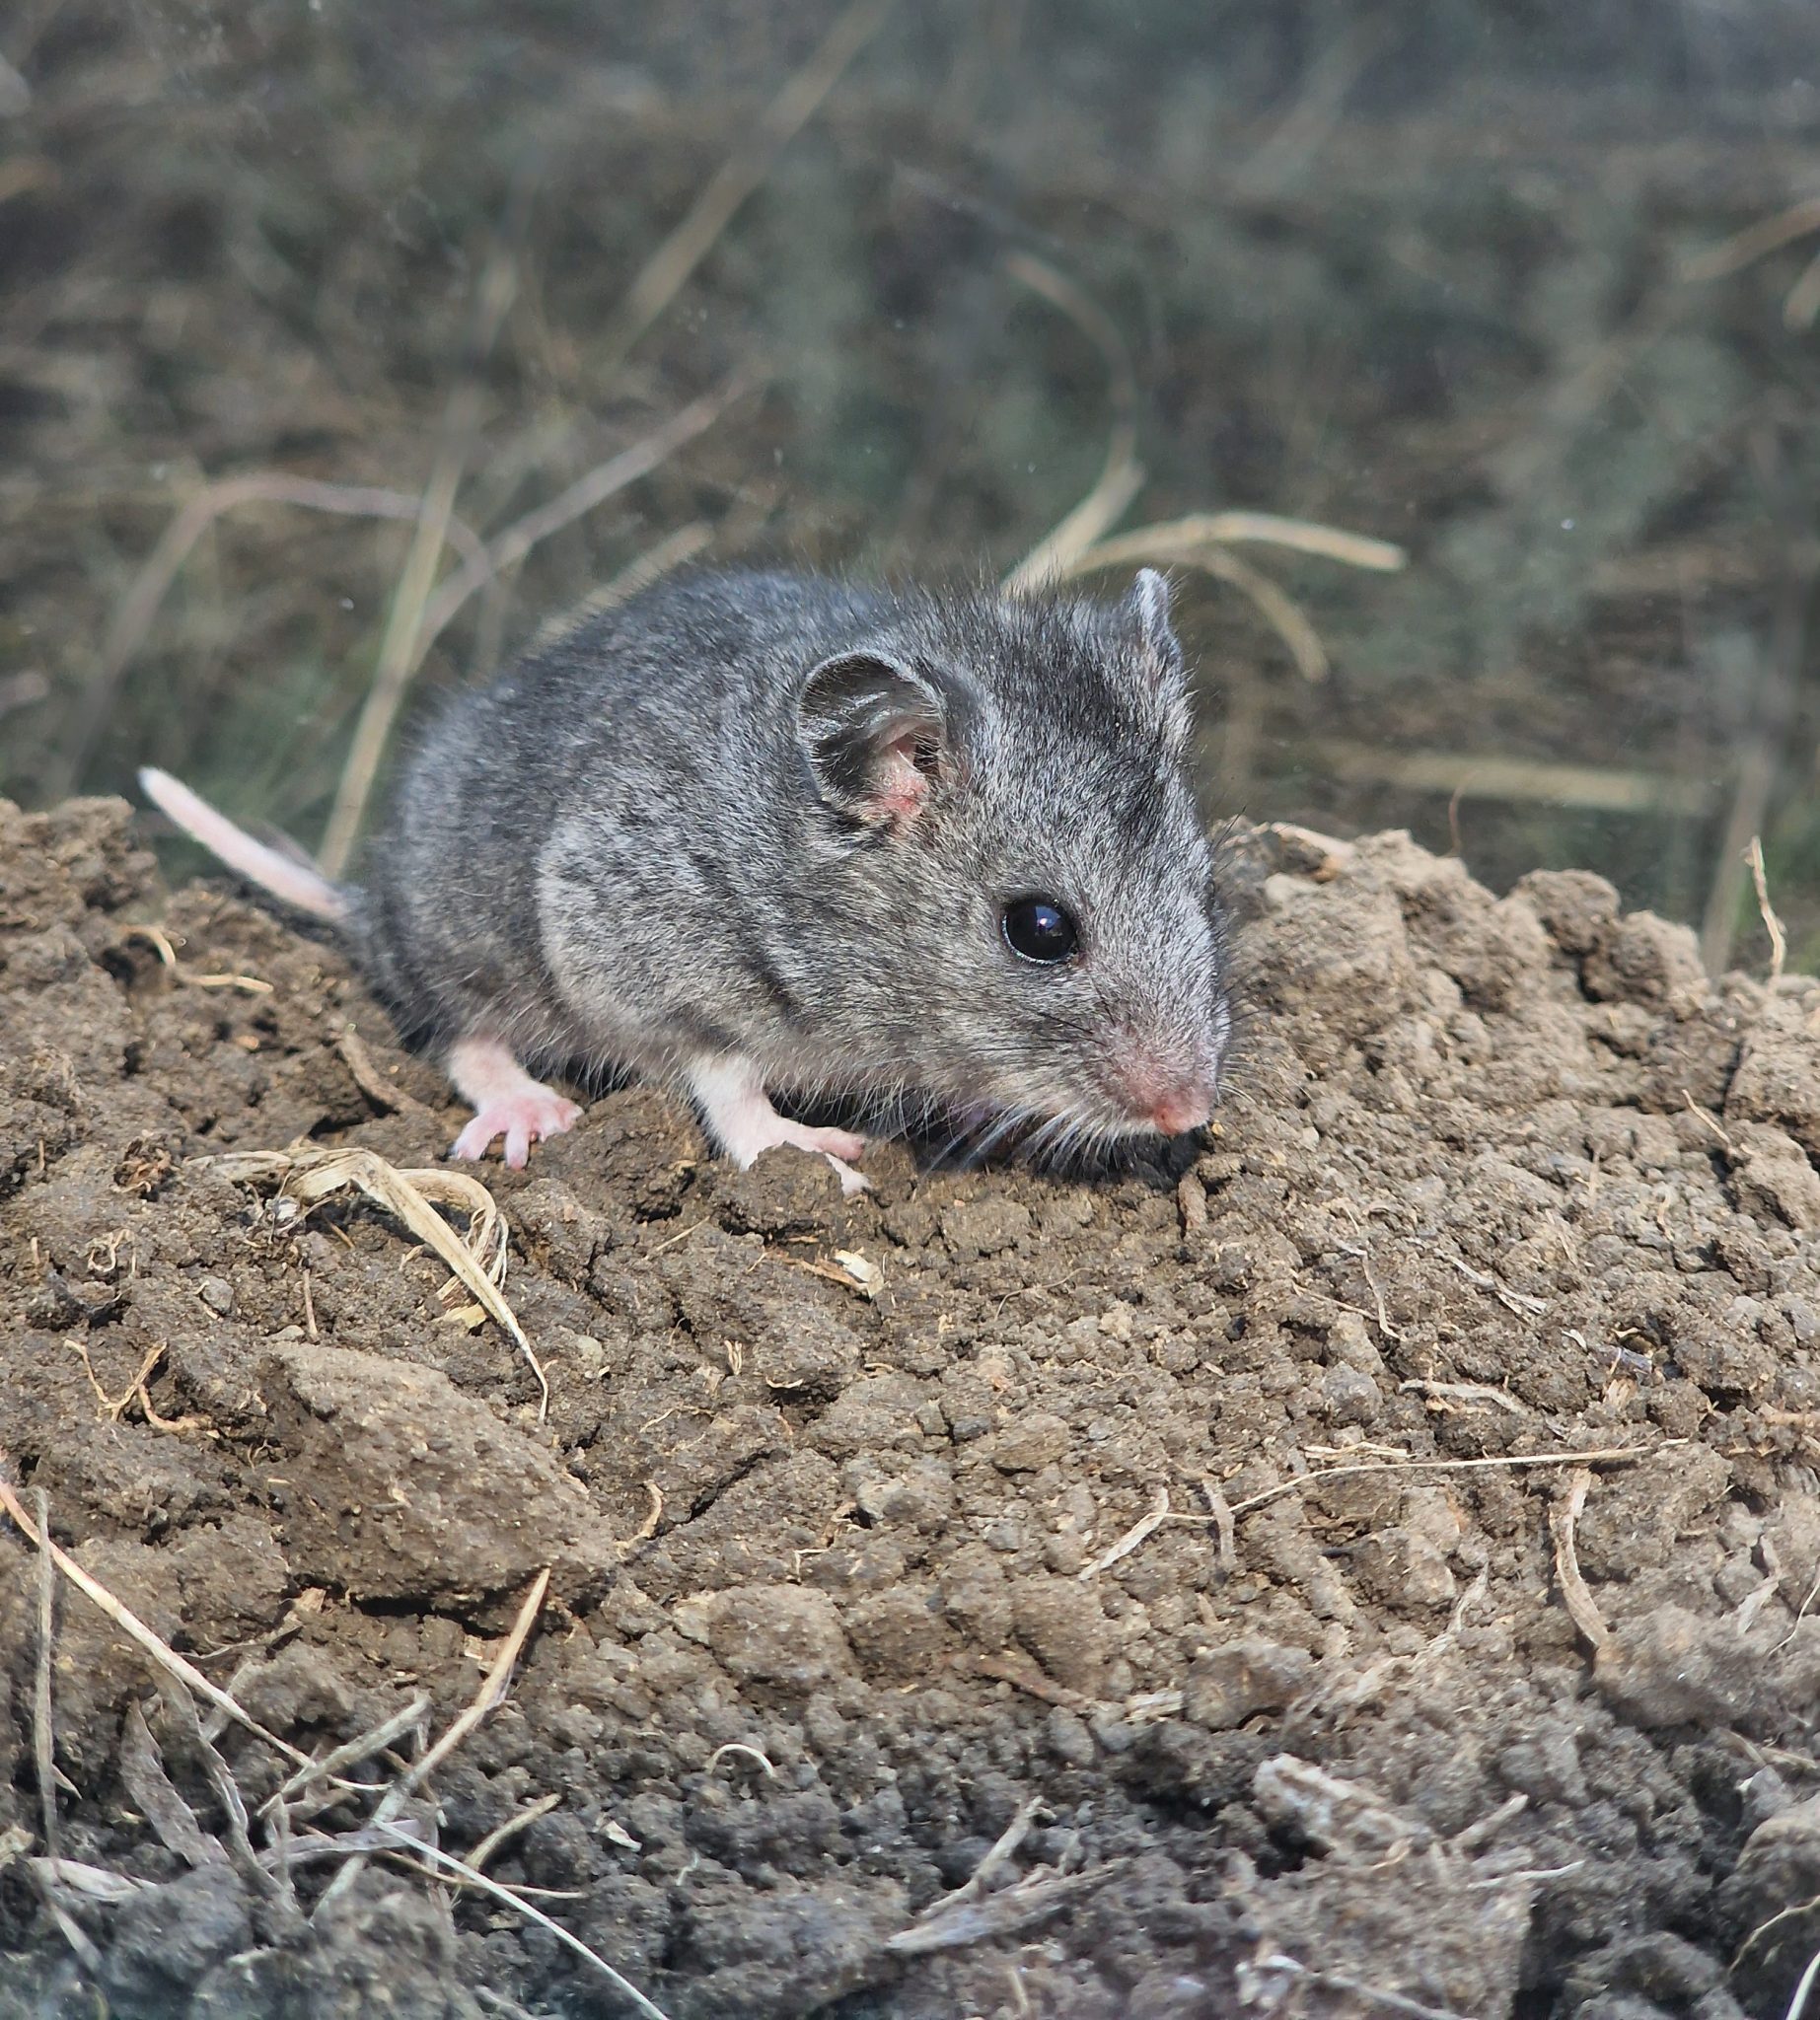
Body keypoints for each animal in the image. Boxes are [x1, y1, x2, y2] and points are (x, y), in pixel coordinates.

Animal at [140, 568, 1232, 1192]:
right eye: (1040, 927)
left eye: (1208, 889)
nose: (1191, 1116)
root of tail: (369, 905)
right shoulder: (658, 967)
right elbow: (726, 1081)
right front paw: (823, 1160)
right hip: (477, 950)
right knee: (462, 1038)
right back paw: (530, 1113)